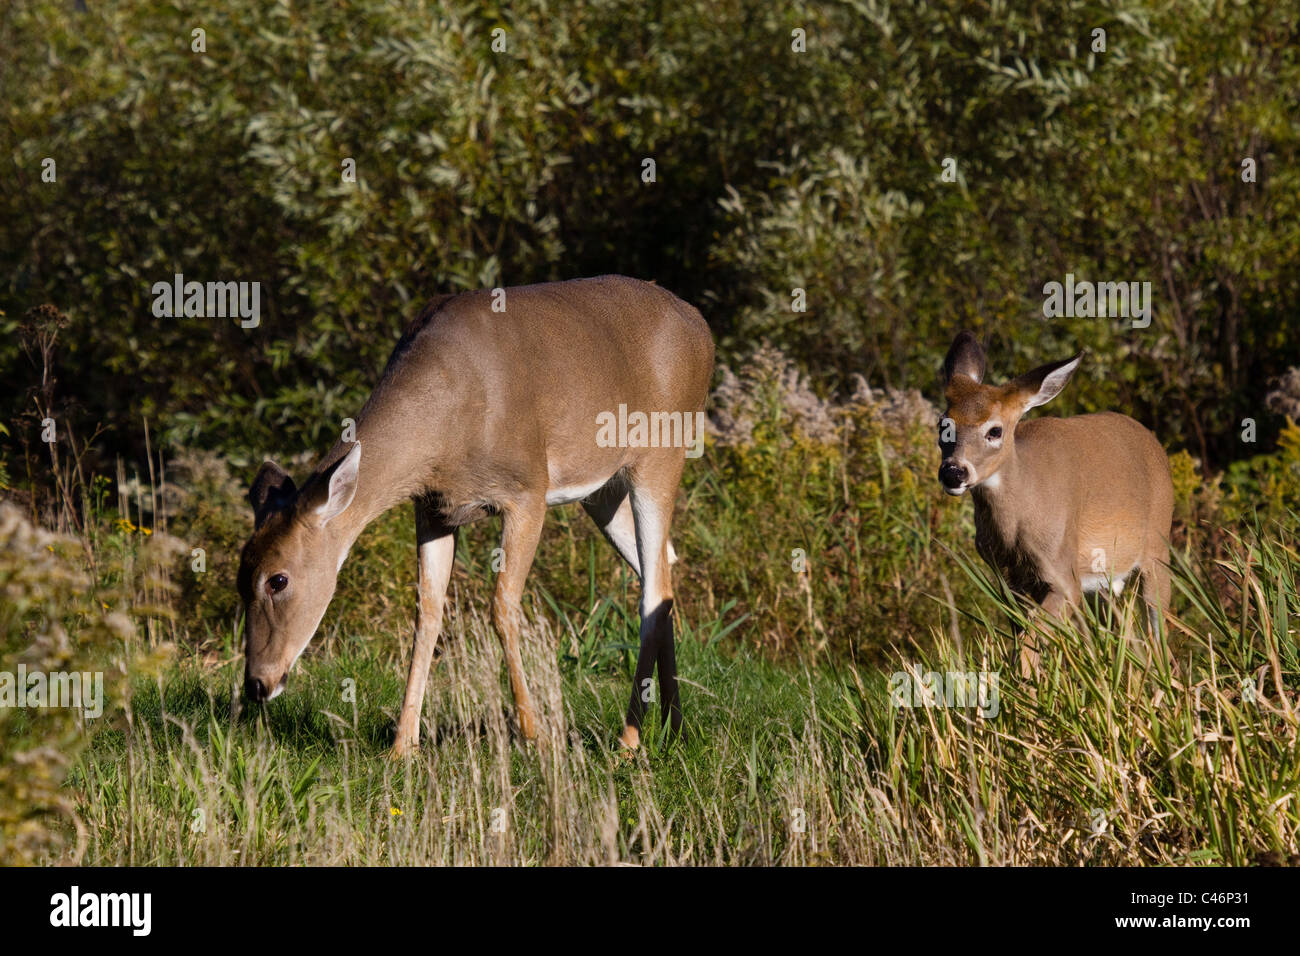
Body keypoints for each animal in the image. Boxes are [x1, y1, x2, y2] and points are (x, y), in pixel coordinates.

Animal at [236, 275, 714, 755]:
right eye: (239, 578)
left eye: (278, 580)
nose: (257, 684)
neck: (445, 430)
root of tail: (701, 326)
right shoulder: (433, 509)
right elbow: (427, 614)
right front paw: (401, 747)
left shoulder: (527, 490)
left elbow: (502, 606)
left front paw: (533, 733)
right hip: (603, 492)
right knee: (663, 570)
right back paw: (675, 725)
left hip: (661, 456)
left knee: (653, 591)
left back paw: (628, 741)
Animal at [937, 331, 1174, 675]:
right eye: (943, 424)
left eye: (994, 430)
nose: (953, 472)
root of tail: (1153, 441)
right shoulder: (1009, 579)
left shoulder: (1063, 572)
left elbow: (1028, 647)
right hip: (1105, 580)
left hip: (1157, 548)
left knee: (1160, 636)